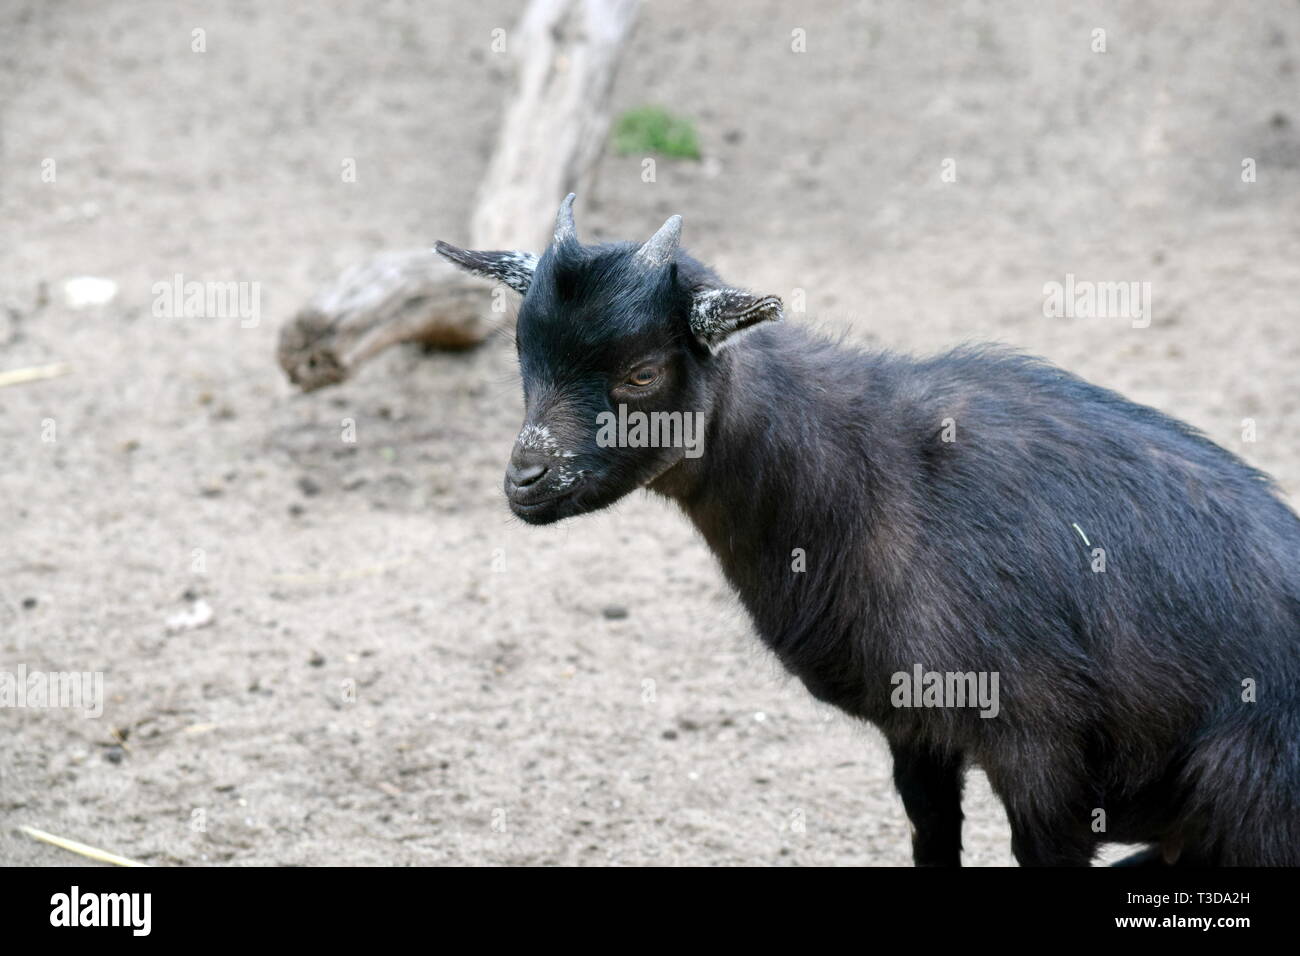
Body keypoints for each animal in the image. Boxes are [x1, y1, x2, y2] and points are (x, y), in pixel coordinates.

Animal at [436, 195, 1300, 866]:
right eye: (522, 352)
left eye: (643, 371)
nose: (525, 482)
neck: (860, 474)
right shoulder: (917, 729)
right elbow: (931, 839)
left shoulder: (1041, 752)